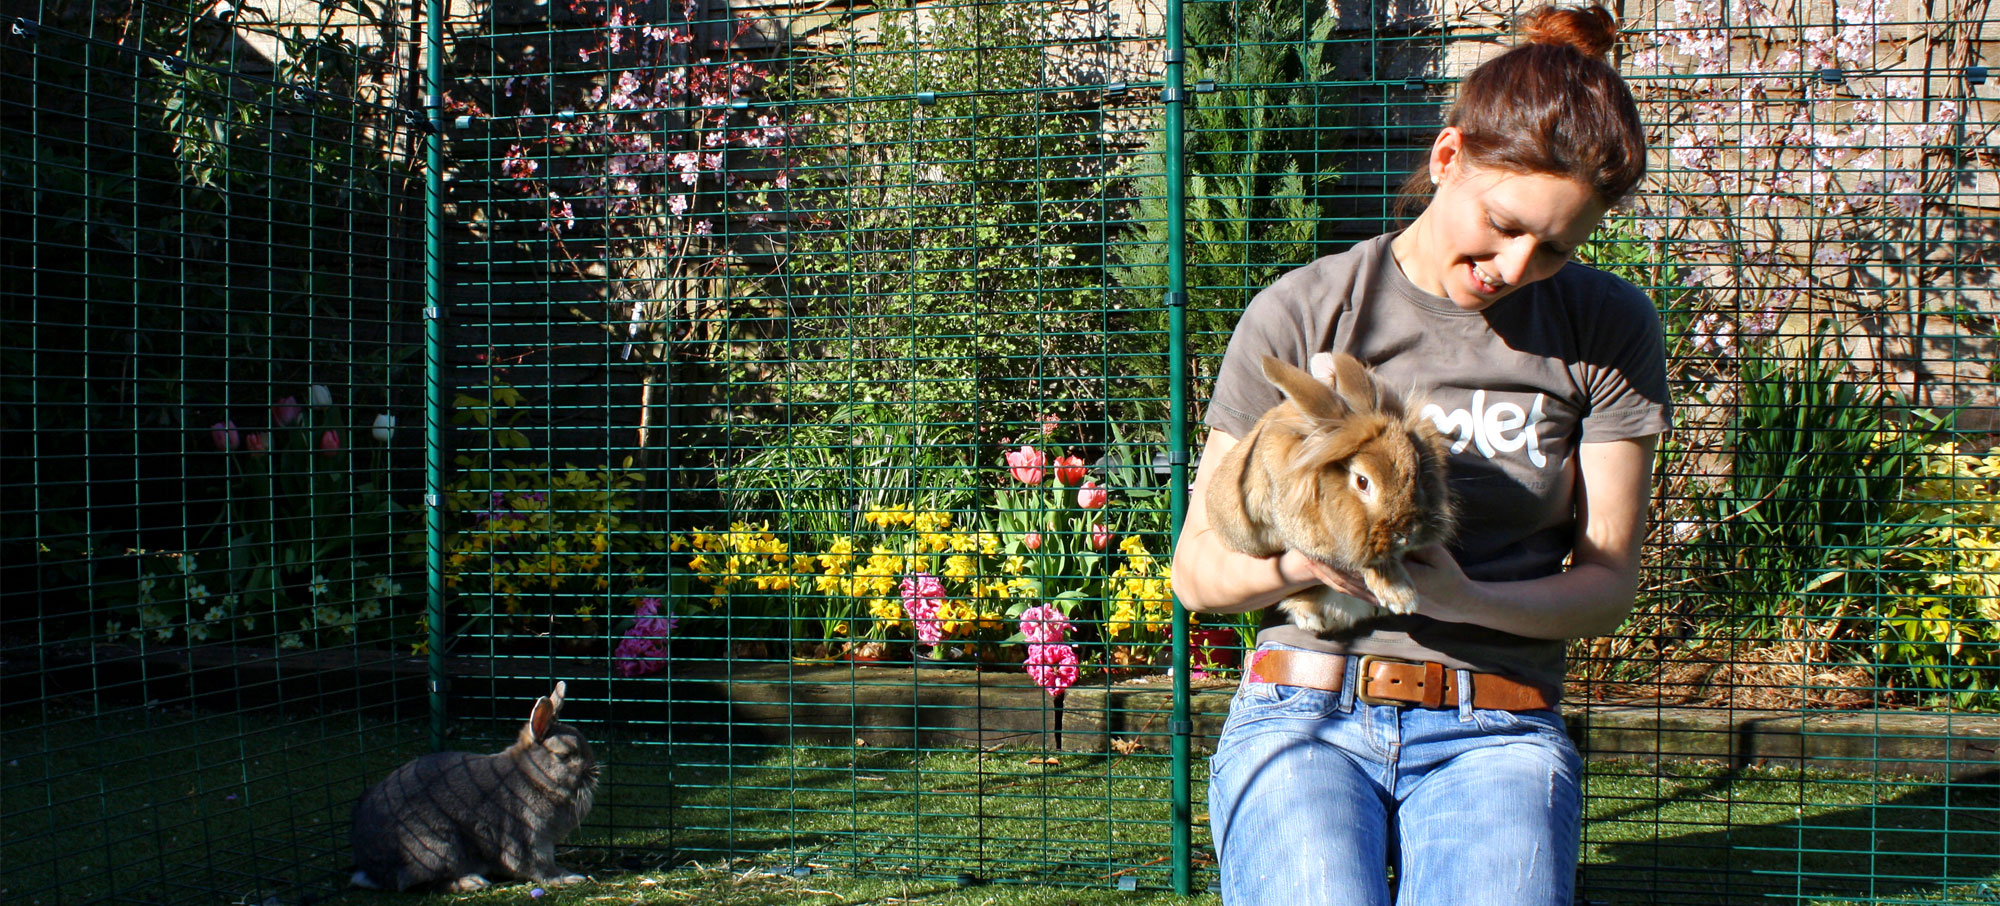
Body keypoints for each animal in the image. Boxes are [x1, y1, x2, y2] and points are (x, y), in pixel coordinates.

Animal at [349, 681, 599, 892]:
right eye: (564, 755)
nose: (594, 772)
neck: (533, 777)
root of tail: (371, 868)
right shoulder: (529, 839)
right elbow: (540, 869)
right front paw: (569, 878)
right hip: (437, 848)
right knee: (417, 882)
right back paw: (471, 882)